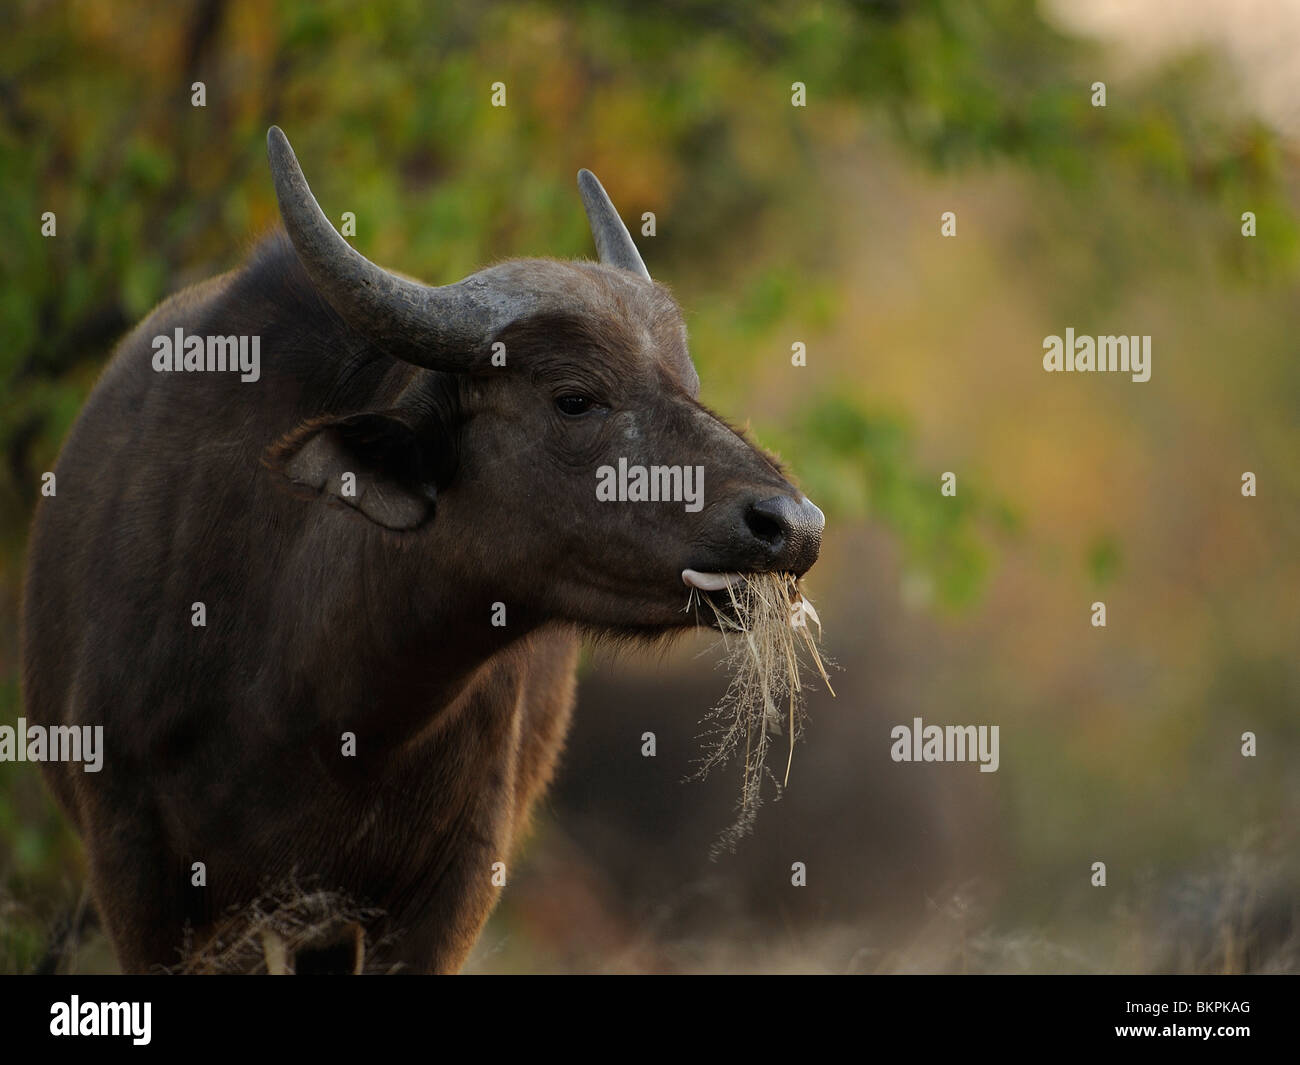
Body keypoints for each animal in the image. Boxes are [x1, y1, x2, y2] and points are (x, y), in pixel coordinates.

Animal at [20, 127, 824, 973]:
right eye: (574, 397)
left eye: (686, 383)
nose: (792, 524)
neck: (309, 703)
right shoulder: (135, 867)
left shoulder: (452, 885)